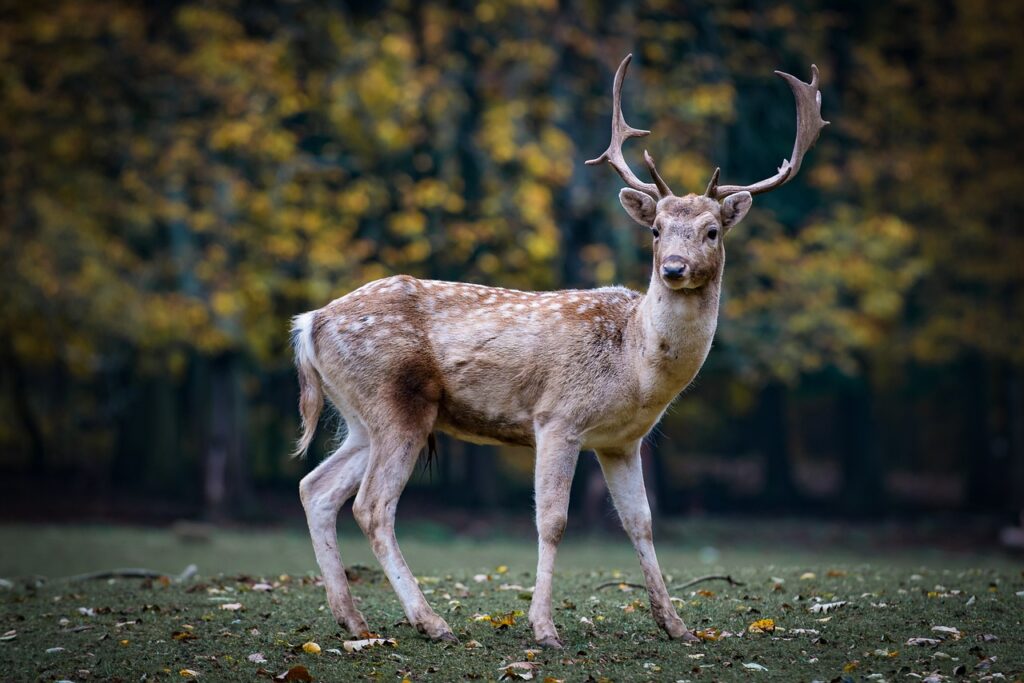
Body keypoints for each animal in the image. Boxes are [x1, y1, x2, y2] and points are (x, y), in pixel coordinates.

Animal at [293, 54, 827, 647]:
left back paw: (352, 620)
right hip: (396, 402)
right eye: (657, 229)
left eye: (712, 231)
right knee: (372, 506)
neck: (635, 365)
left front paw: (677, 625)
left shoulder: (622, 442)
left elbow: (641, 522)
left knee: (316, 487)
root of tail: (309, 323)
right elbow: (552, 521)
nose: (673, 268)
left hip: (360, 415)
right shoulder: (557, 417)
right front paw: (544, 628)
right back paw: (432, 622)